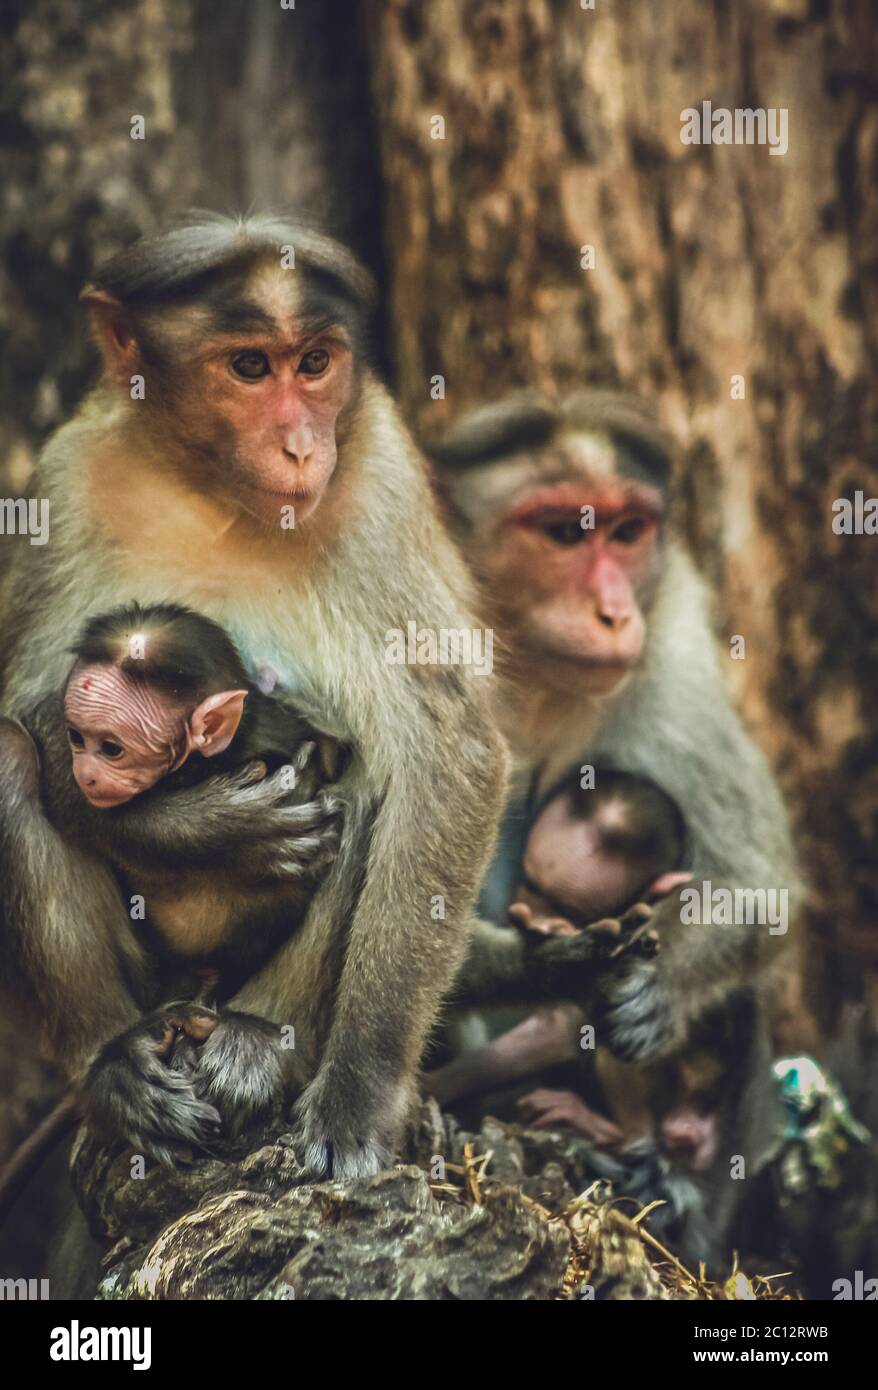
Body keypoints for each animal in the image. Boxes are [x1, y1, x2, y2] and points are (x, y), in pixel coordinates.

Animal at [0, 213, 519, 1182]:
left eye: (314, 363)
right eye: (249, 367)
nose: (303, 446)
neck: (219, 496)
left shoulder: (382, 482)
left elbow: (448, 751)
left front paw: (359, 1093)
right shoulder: (69, 473)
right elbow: (22, 702)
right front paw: (197, 828)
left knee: (367, 777)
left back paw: (257, 1043)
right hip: (158, 978)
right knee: (10, 755)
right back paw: (115, 1064)